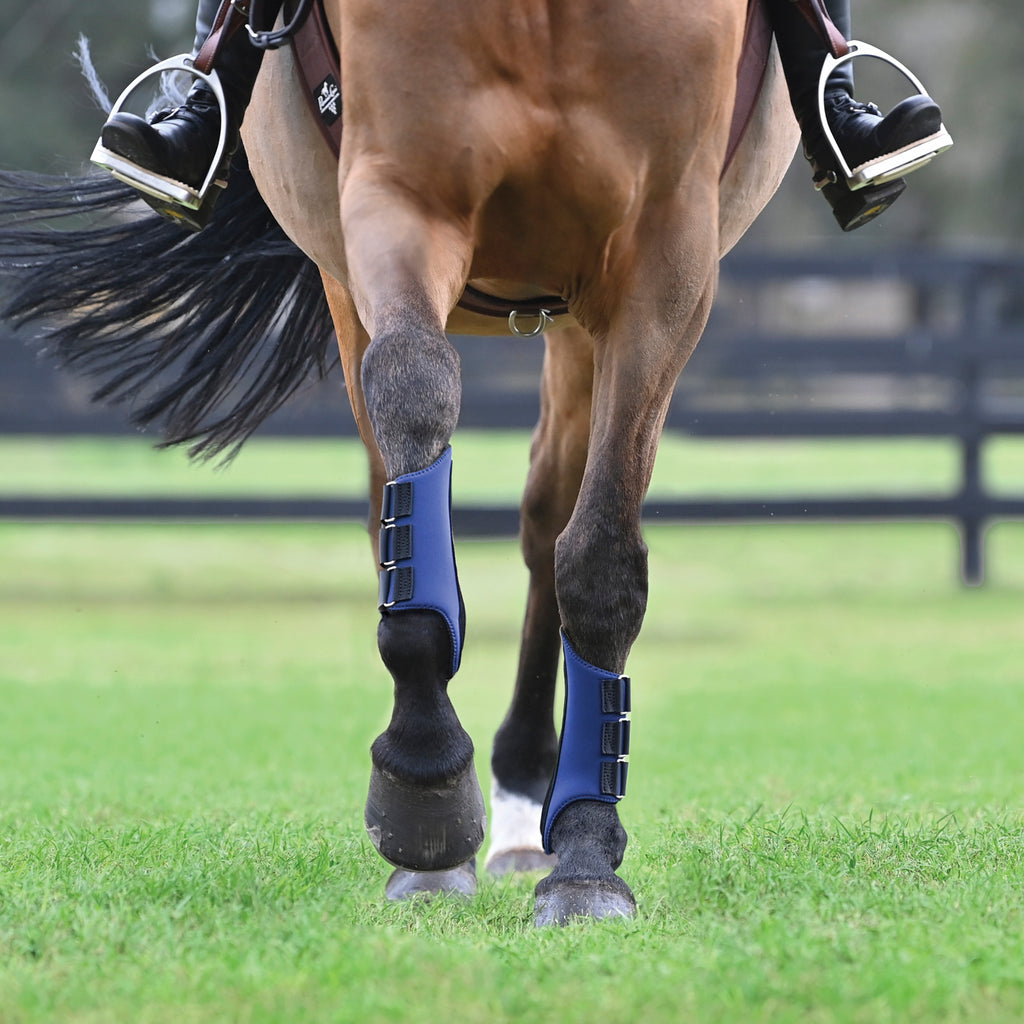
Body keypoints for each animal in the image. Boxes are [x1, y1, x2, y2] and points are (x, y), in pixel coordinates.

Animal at [0, 0, 798, 924]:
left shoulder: (663, 259)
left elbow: (599, 558)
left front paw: (587, 856)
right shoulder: (399, 202)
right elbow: (414, 401)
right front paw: (425, 790)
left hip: (577, 326)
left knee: (548, 523)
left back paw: (530, 810)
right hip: (352, 278)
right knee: (399, 487)